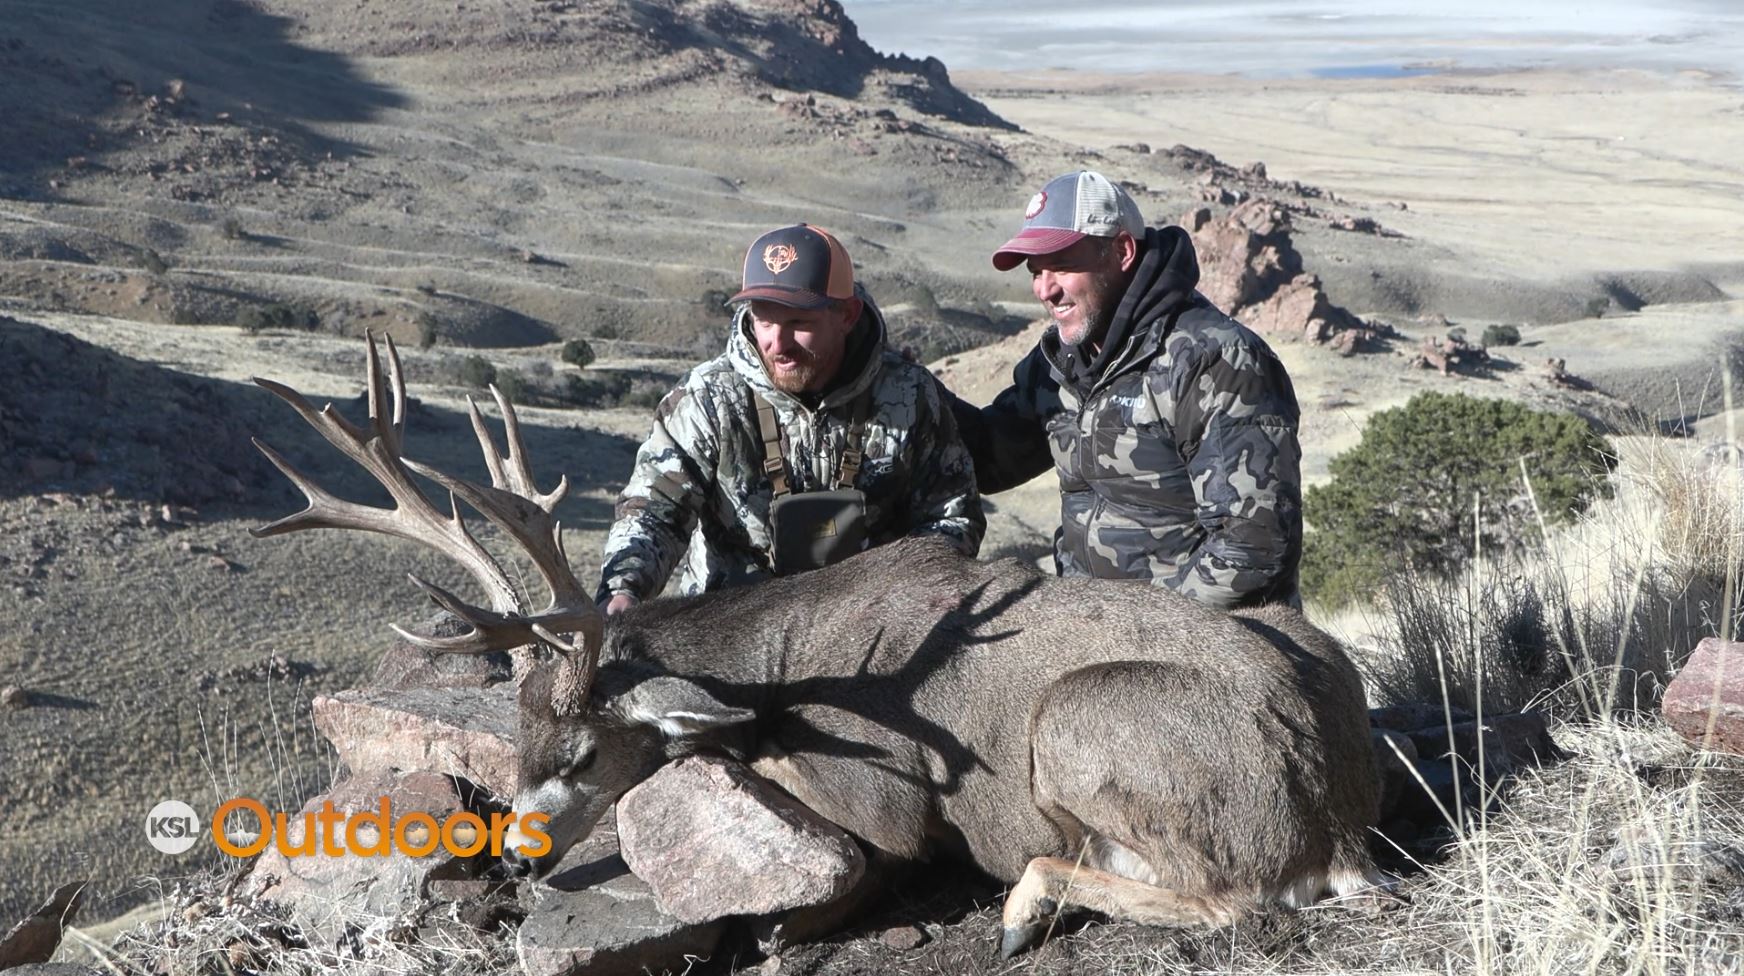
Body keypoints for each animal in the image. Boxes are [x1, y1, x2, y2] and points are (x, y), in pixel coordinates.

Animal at [251, 334, 1389, 956]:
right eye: (517, 738)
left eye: (580, 751)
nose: (517, 854)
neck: (780, 659)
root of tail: (1334, 820)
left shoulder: (882, 793)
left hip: (1084, 716)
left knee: (1233, 898)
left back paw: (1022, 906)